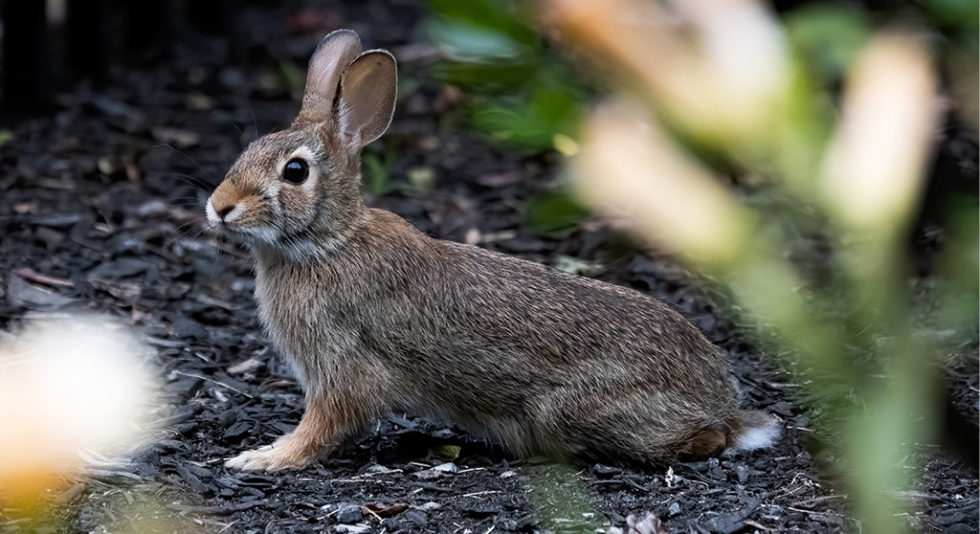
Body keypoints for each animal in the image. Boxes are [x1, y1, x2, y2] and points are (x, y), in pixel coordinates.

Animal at [206, 29, 780, 472]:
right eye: (247, 151)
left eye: (295, 171)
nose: (219, 207)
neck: (330, 242)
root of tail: (721, 403)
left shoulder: (342, 367)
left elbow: (324, 424)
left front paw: (263, 459)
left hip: (565, 411)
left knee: (700, 440)